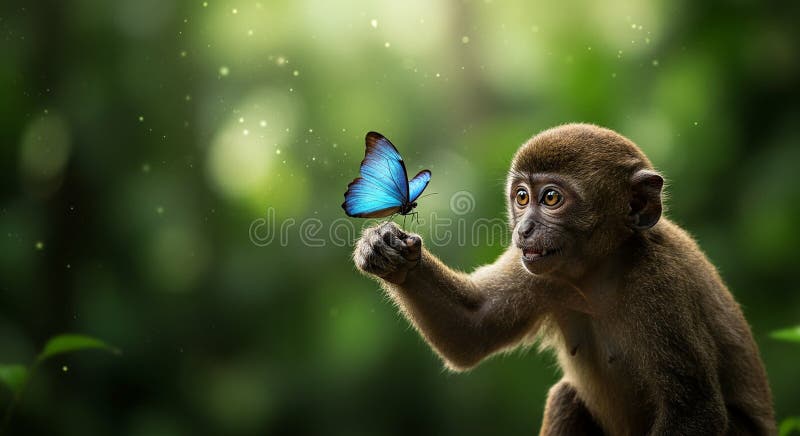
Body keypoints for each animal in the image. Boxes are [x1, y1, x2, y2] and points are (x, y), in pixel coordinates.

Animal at [352, 124, 775, 435]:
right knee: (565, 397)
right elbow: (471, 330)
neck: (600, 275)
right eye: (522, 197)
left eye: (551, 198)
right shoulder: (540, 276)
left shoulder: (661, 284)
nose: (523, 230)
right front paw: (386, 252)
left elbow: (694, 410)